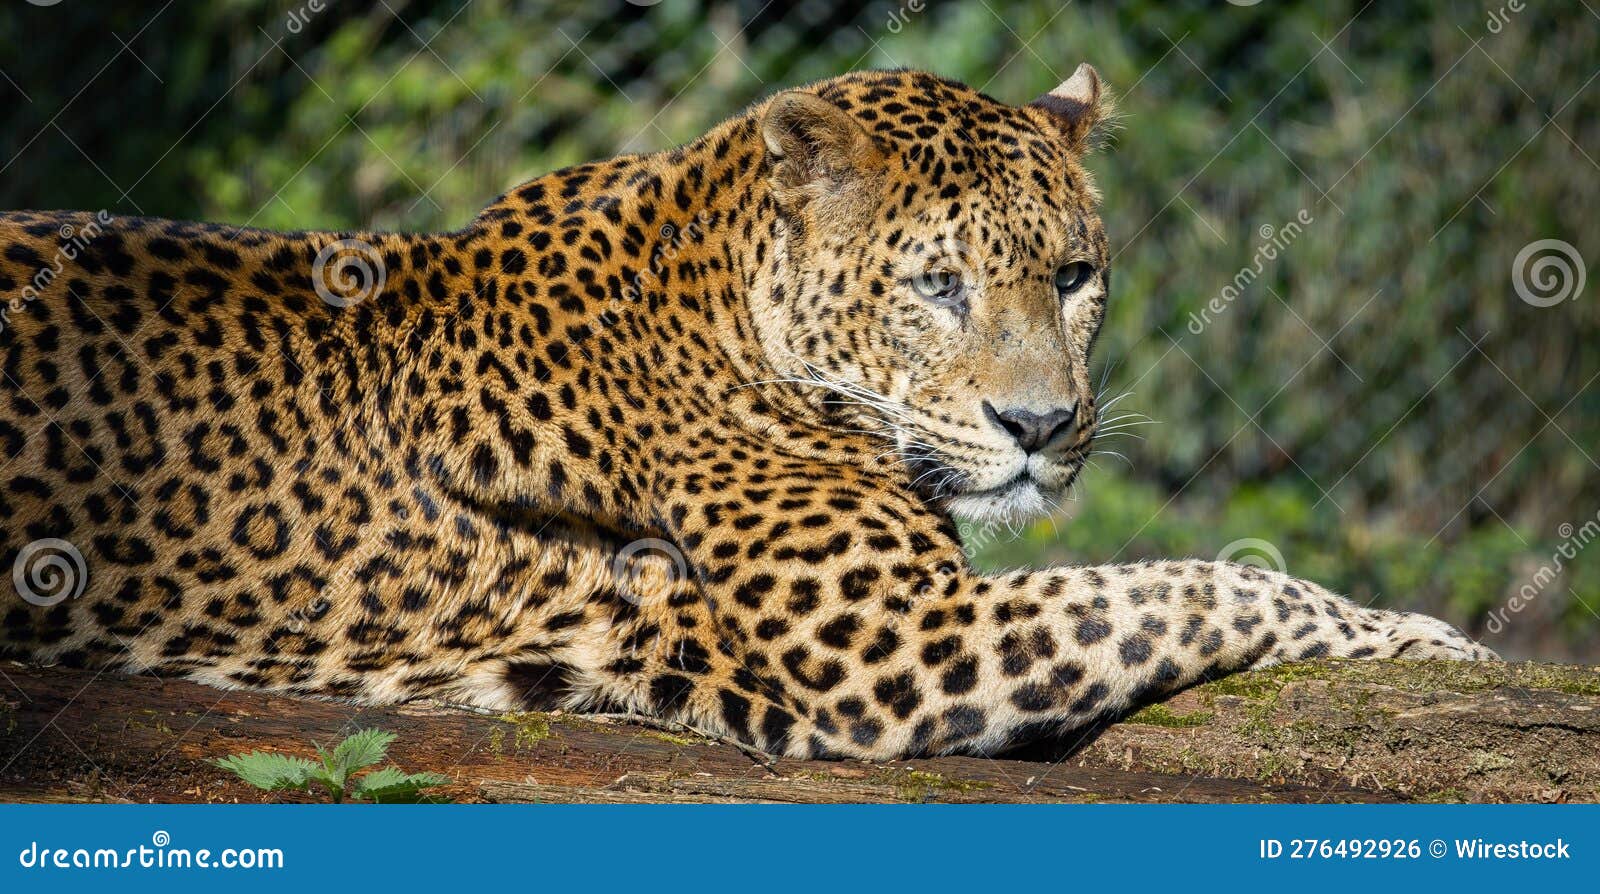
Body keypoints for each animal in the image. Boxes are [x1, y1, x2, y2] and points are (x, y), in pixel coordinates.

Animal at [0, 64, 1497, 761]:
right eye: (939, 285)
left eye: (1074, 277)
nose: (1042, 425)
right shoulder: (896, 642)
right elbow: (1189, 584)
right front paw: (1423, 637)